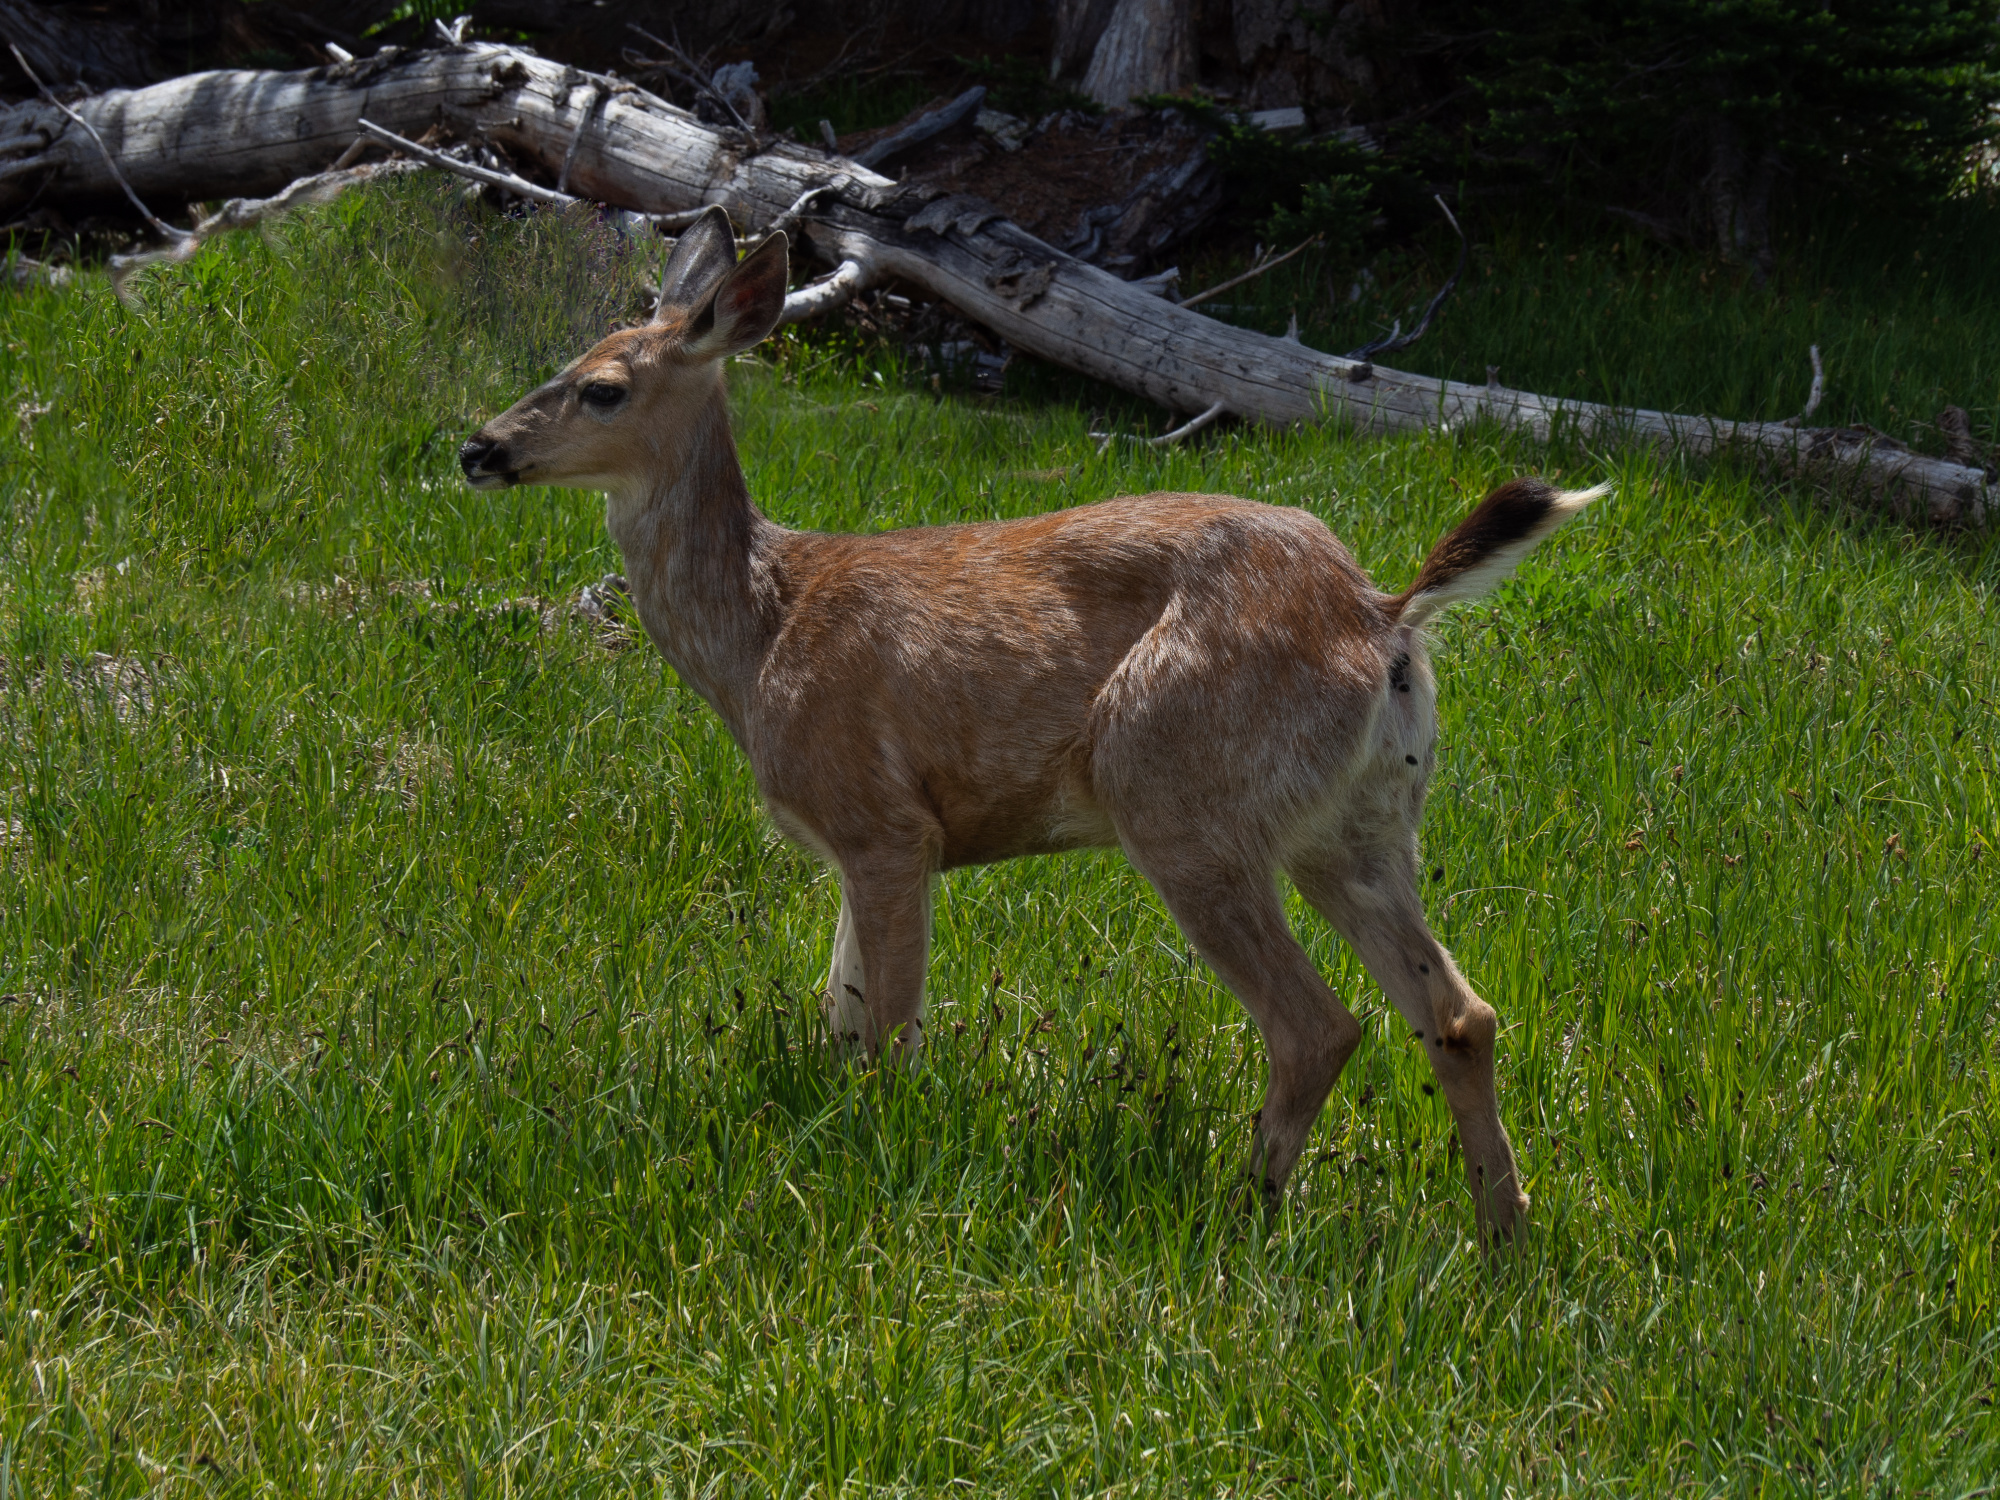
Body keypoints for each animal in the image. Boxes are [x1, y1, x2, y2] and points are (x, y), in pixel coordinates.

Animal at [459, 207, 1606, 1240]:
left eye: (604, 387)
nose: (478, 448)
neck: (759, 634)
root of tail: (1382, 615)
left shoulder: (881, 819)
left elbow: (890, 1031)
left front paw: (883, 1158)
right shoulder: (867, 839)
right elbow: (840, 1013)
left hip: (1179, 792)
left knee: (1317, 1025)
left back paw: (1243, 1216)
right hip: (1357, 823)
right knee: (1457, 1014)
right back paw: (1503, 1235)